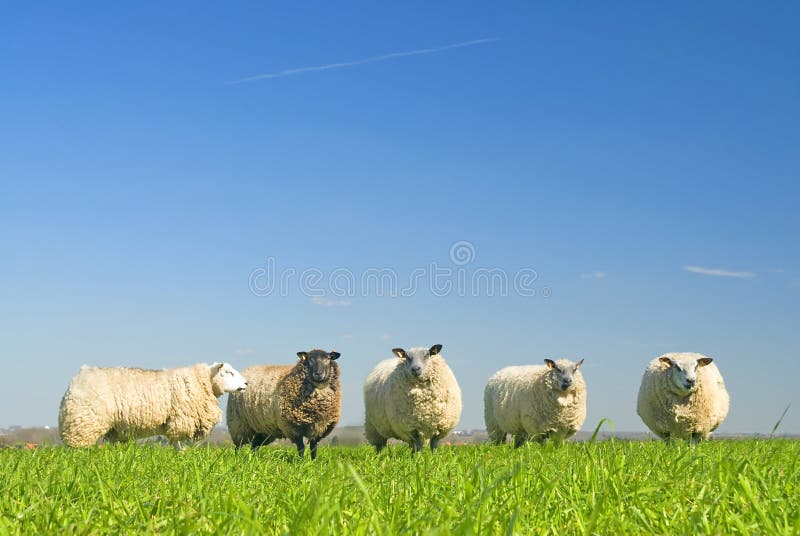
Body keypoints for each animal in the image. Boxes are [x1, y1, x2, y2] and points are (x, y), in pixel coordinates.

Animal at [58, 362, 247, 448]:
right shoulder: (180, 421)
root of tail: (80, 375)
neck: (204, 382)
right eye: (228, 372)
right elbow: (179, 445)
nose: (246, 383)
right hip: (84, 422)